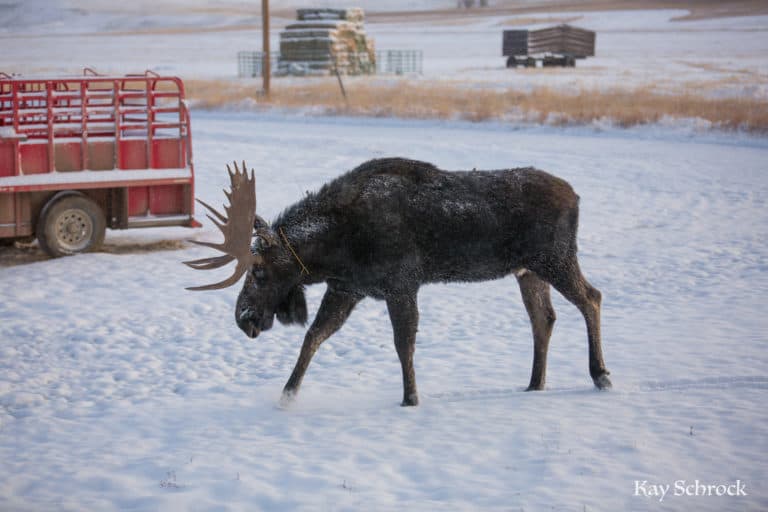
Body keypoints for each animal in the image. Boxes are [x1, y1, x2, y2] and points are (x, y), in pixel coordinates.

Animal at [185, 159, 611, 406]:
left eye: (259, 273)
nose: (243, 317)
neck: (335, 248)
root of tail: (576, 196)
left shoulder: (400, 283)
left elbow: (403, 343)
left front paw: (410, 398)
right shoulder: (347, 288)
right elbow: (314, 337)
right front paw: (287, 395)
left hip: (554, 258)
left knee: (592, 297)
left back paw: (600, 375)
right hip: (527, 271)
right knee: (544, 318)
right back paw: (535, 383)